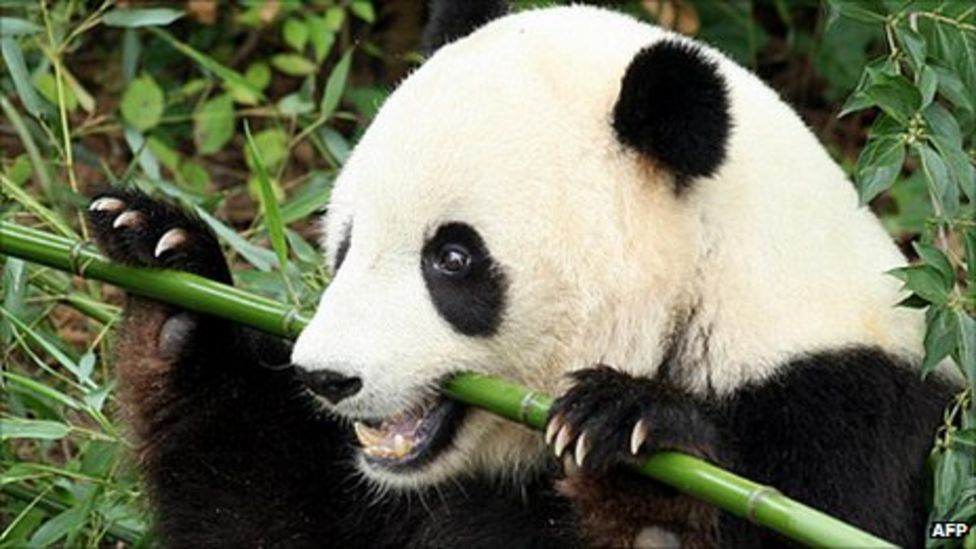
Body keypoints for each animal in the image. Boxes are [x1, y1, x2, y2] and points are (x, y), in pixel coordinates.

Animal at [87, 2, 954, 548]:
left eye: (452, 257)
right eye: (346, 243)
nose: (327, 377)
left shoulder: (846, 420)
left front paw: (639, 455)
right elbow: (257, 518)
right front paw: (169, 276)